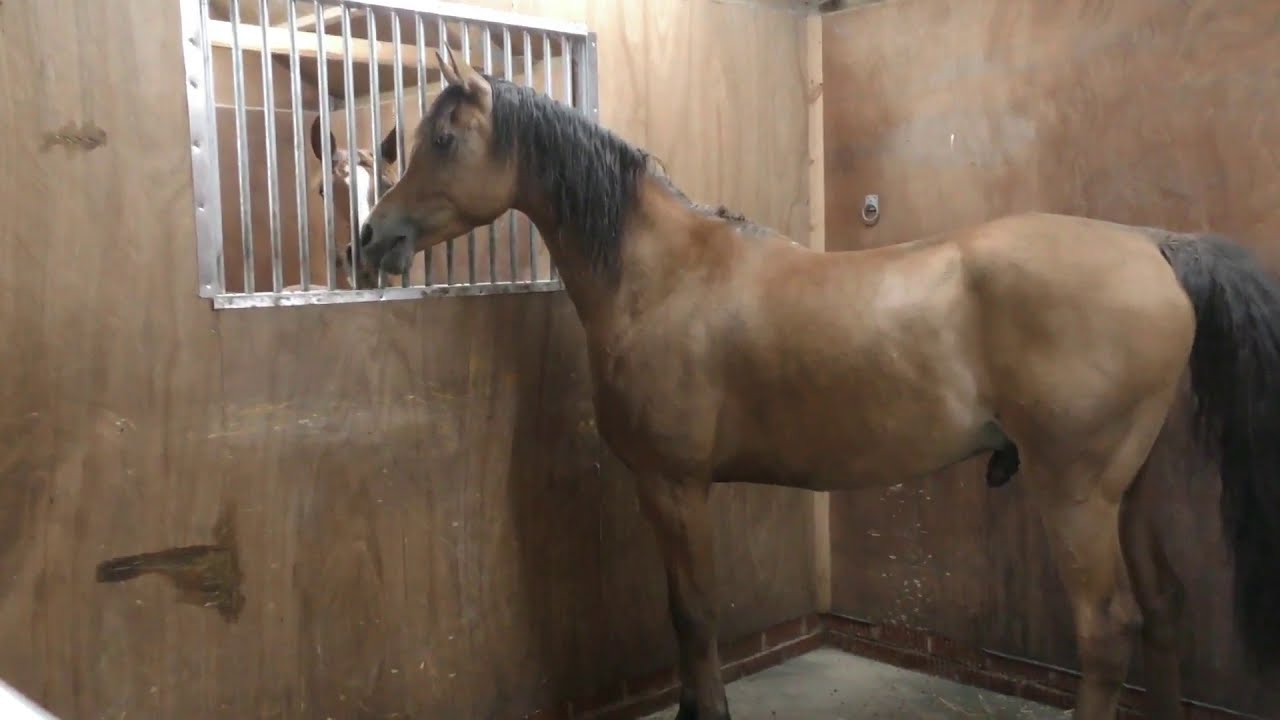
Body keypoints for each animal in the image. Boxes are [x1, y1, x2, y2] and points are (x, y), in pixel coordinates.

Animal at [353, 45, 1280, 720]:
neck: (663, 276)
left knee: (1107, 630)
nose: (372, 239)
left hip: (1077, 494)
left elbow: (693, 615)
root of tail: (1153, 244)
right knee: (1163, 610)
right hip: (1134, 487)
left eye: (443, 140)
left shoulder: (674, 486)